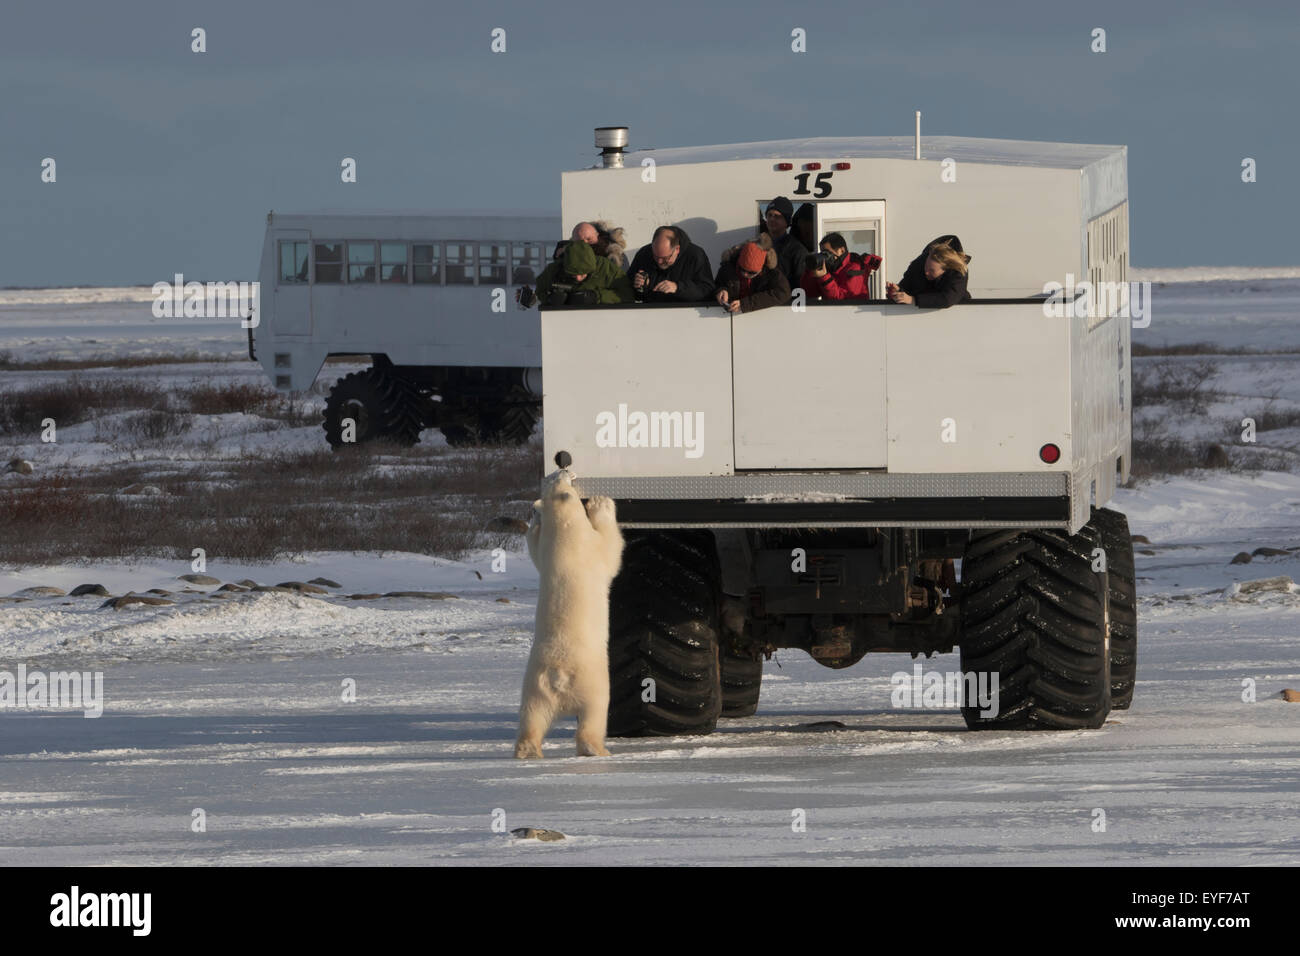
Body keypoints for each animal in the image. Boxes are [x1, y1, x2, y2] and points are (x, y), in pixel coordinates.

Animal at [515, 469, 624, 759]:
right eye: (558, 479)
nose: (565, 469)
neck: (564, 536)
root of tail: (557, 676)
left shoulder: (547, 553)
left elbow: (535, 548)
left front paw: (535, 520)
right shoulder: (590, 548)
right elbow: (611, 548)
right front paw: (600, 503)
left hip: (533, 688)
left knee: (531, 716)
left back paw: (527, 750)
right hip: (592, 682)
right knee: (594, 713)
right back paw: (598, 749)